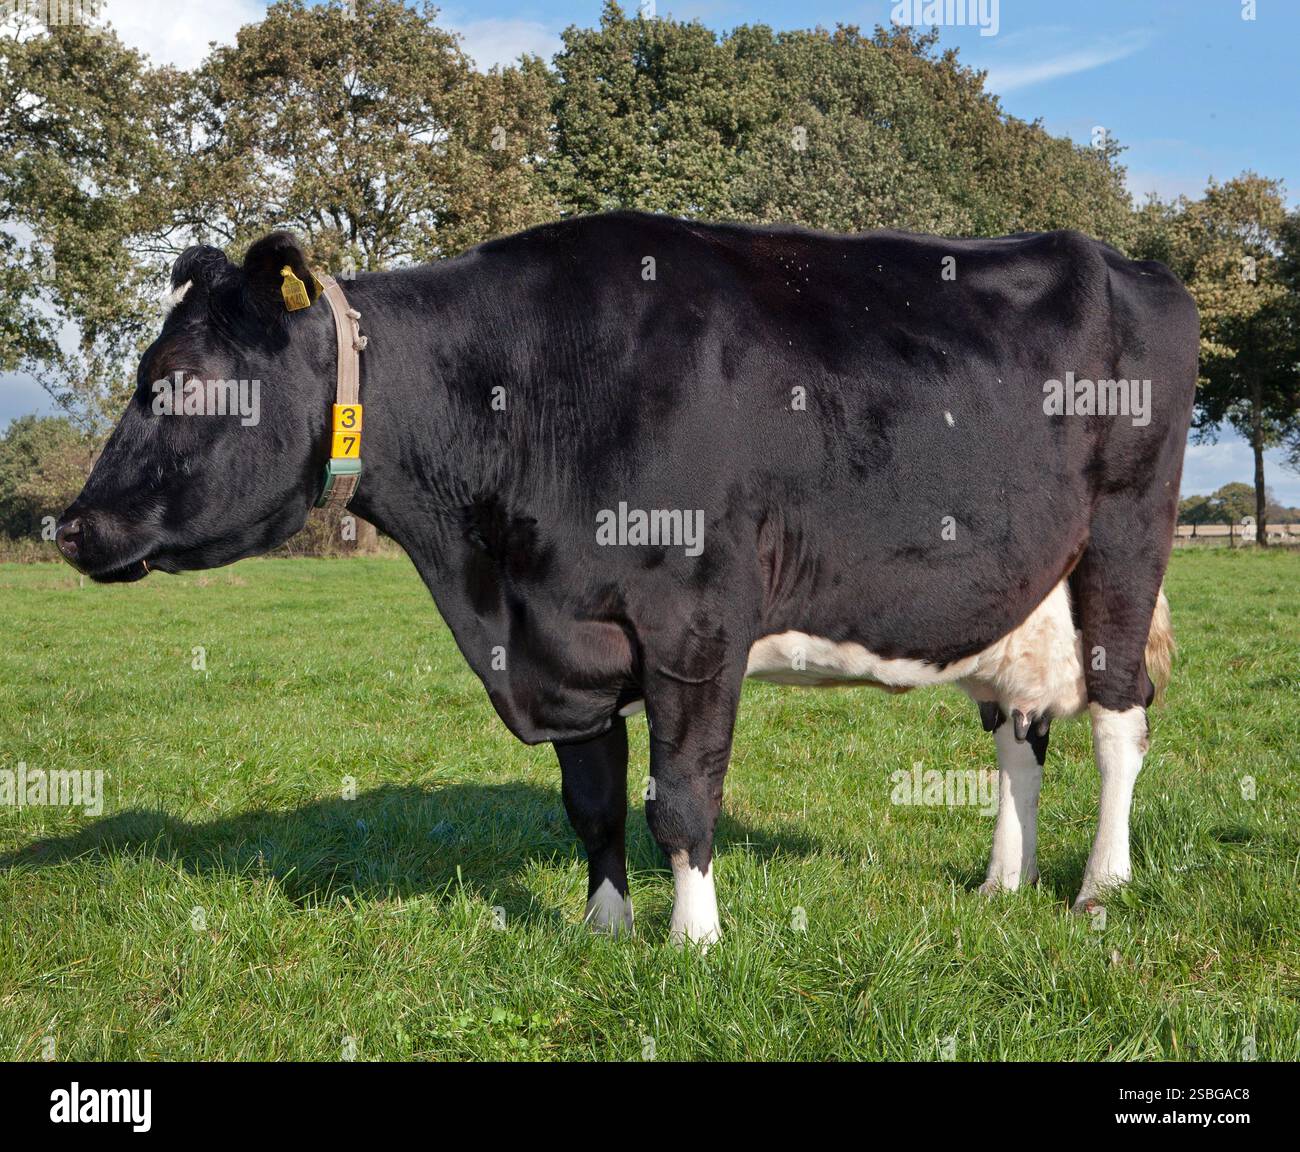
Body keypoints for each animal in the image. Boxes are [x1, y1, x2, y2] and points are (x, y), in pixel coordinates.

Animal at [56, 211, 1195, 945]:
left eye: (183, 380)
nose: (69, 525)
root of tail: (1124, 261)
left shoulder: (695, 621)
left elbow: (681, 799)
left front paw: (694, 943)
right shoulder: (564, 639)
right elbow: (593, 802)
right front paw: (603, 929)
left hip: (1125, 537)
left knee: (1117, 713)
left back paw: (1099, 889)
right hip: (1017, 582)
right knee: (1016, 727)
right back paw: (1003, 886)